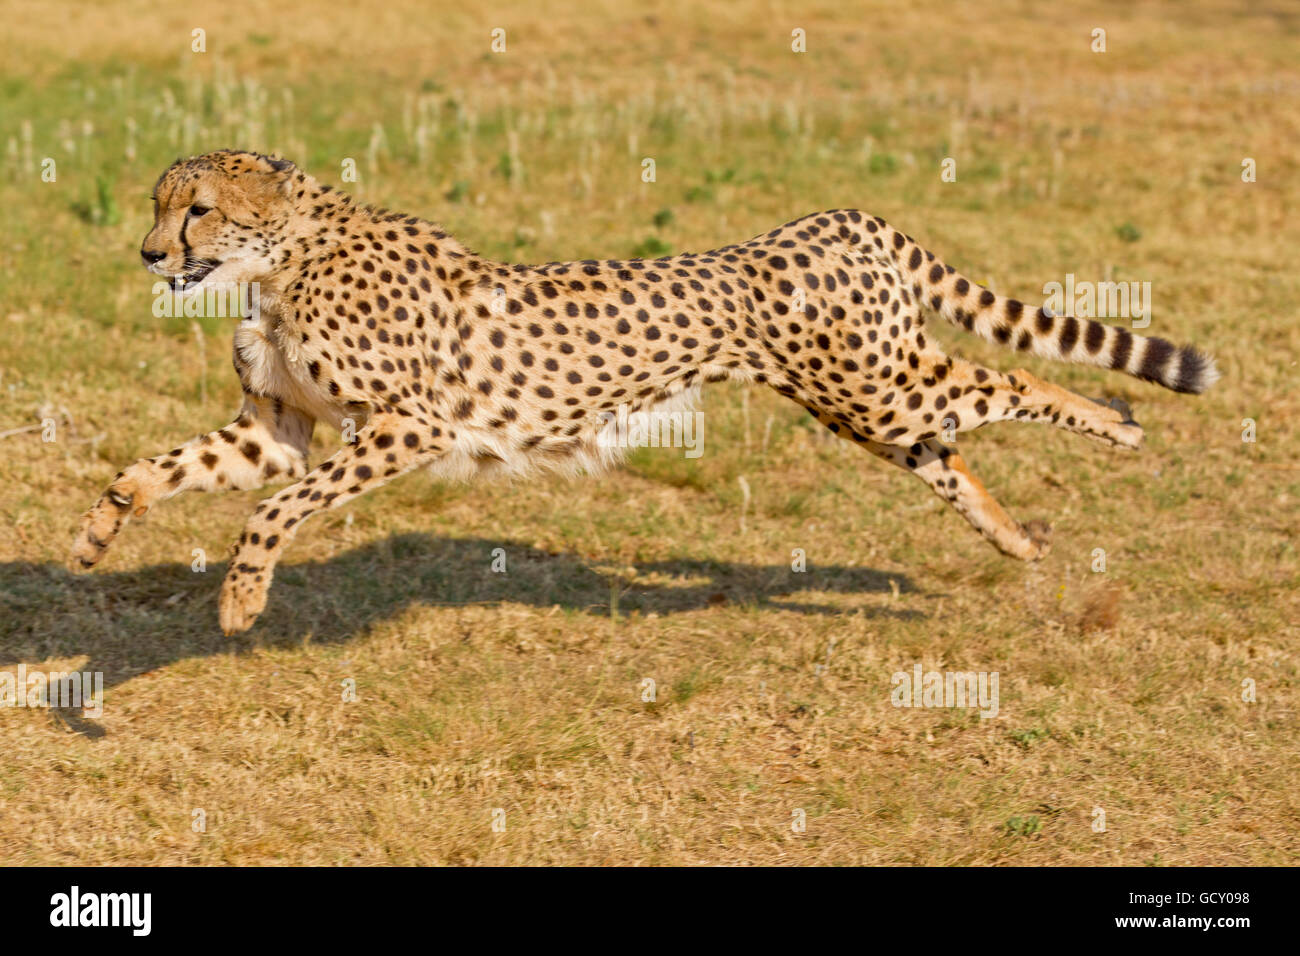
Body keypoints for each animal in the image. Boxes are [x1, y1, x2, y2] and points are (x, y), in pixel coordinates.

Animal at [69, 150, 1219, 634]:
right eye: (161, 204)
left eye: (197, 208)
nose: (148, 254)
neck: (282, 258)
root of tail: (836, 218)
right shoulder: (283, 427)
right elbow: (160, 469)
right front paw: (94, 533)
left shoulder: (408, 425)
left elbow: (273, 510)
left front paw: (240, 599)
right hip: (870, 404)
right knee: (950, 451)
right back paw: (1016, 539)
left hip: (878, 383)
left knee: (1014, 375)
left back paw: (1118, 425)